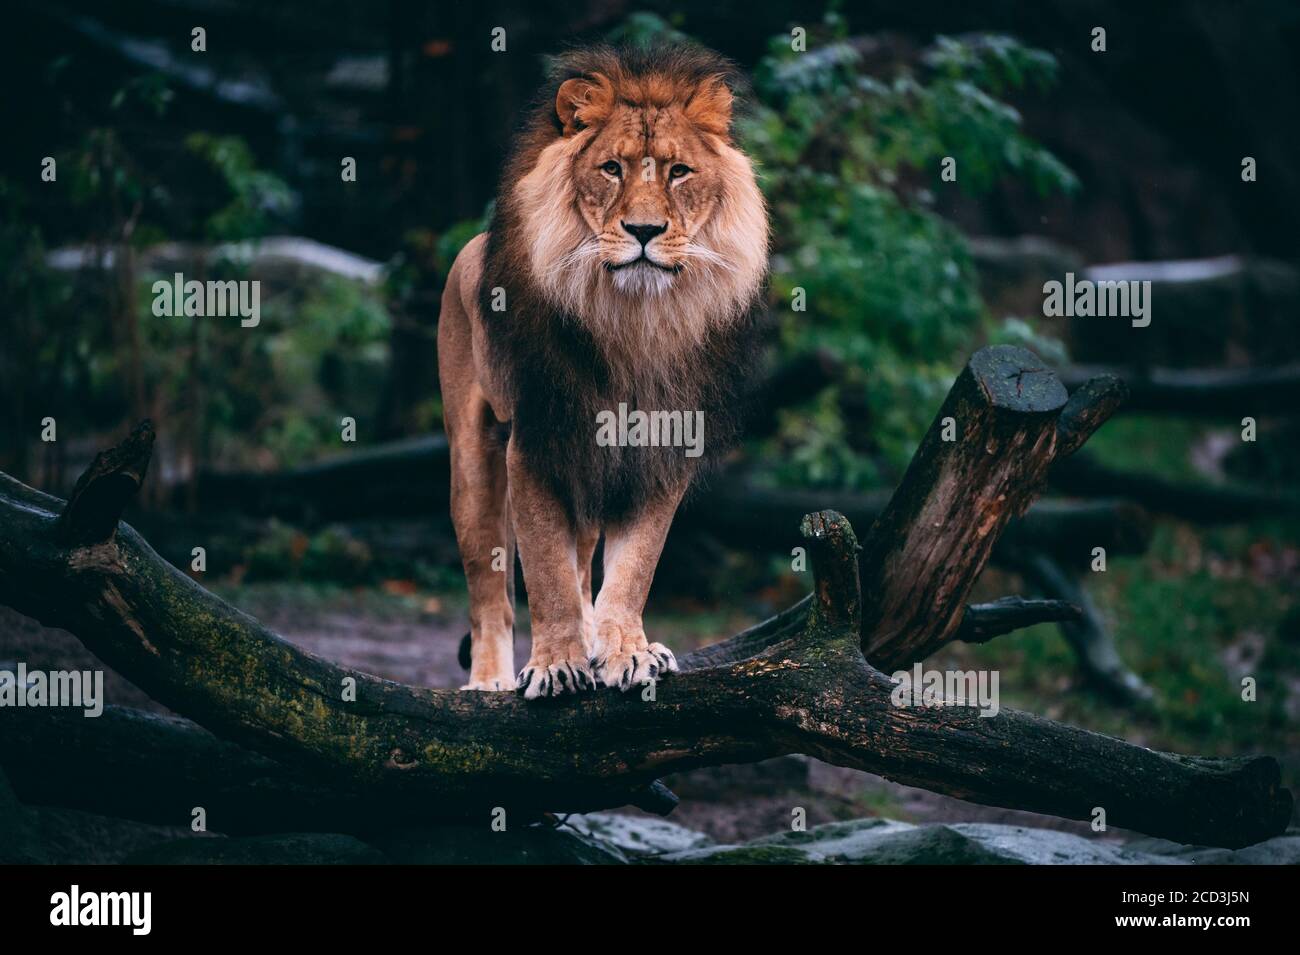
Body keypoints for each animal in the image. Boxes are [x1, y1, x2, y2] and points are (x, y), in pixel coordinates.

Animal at [438, 44, 768, 699]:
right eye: (611, 169)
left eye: (679, 172)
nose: (644, 231)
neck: (632, 321)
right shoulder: (536, 441)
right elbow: (546, 575)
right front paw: (556, 663)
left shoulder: (661, 447)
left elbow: (633, 568)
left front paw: (625, 652)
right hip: (473, 460)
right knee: (490, 593)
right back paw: (489, 682)